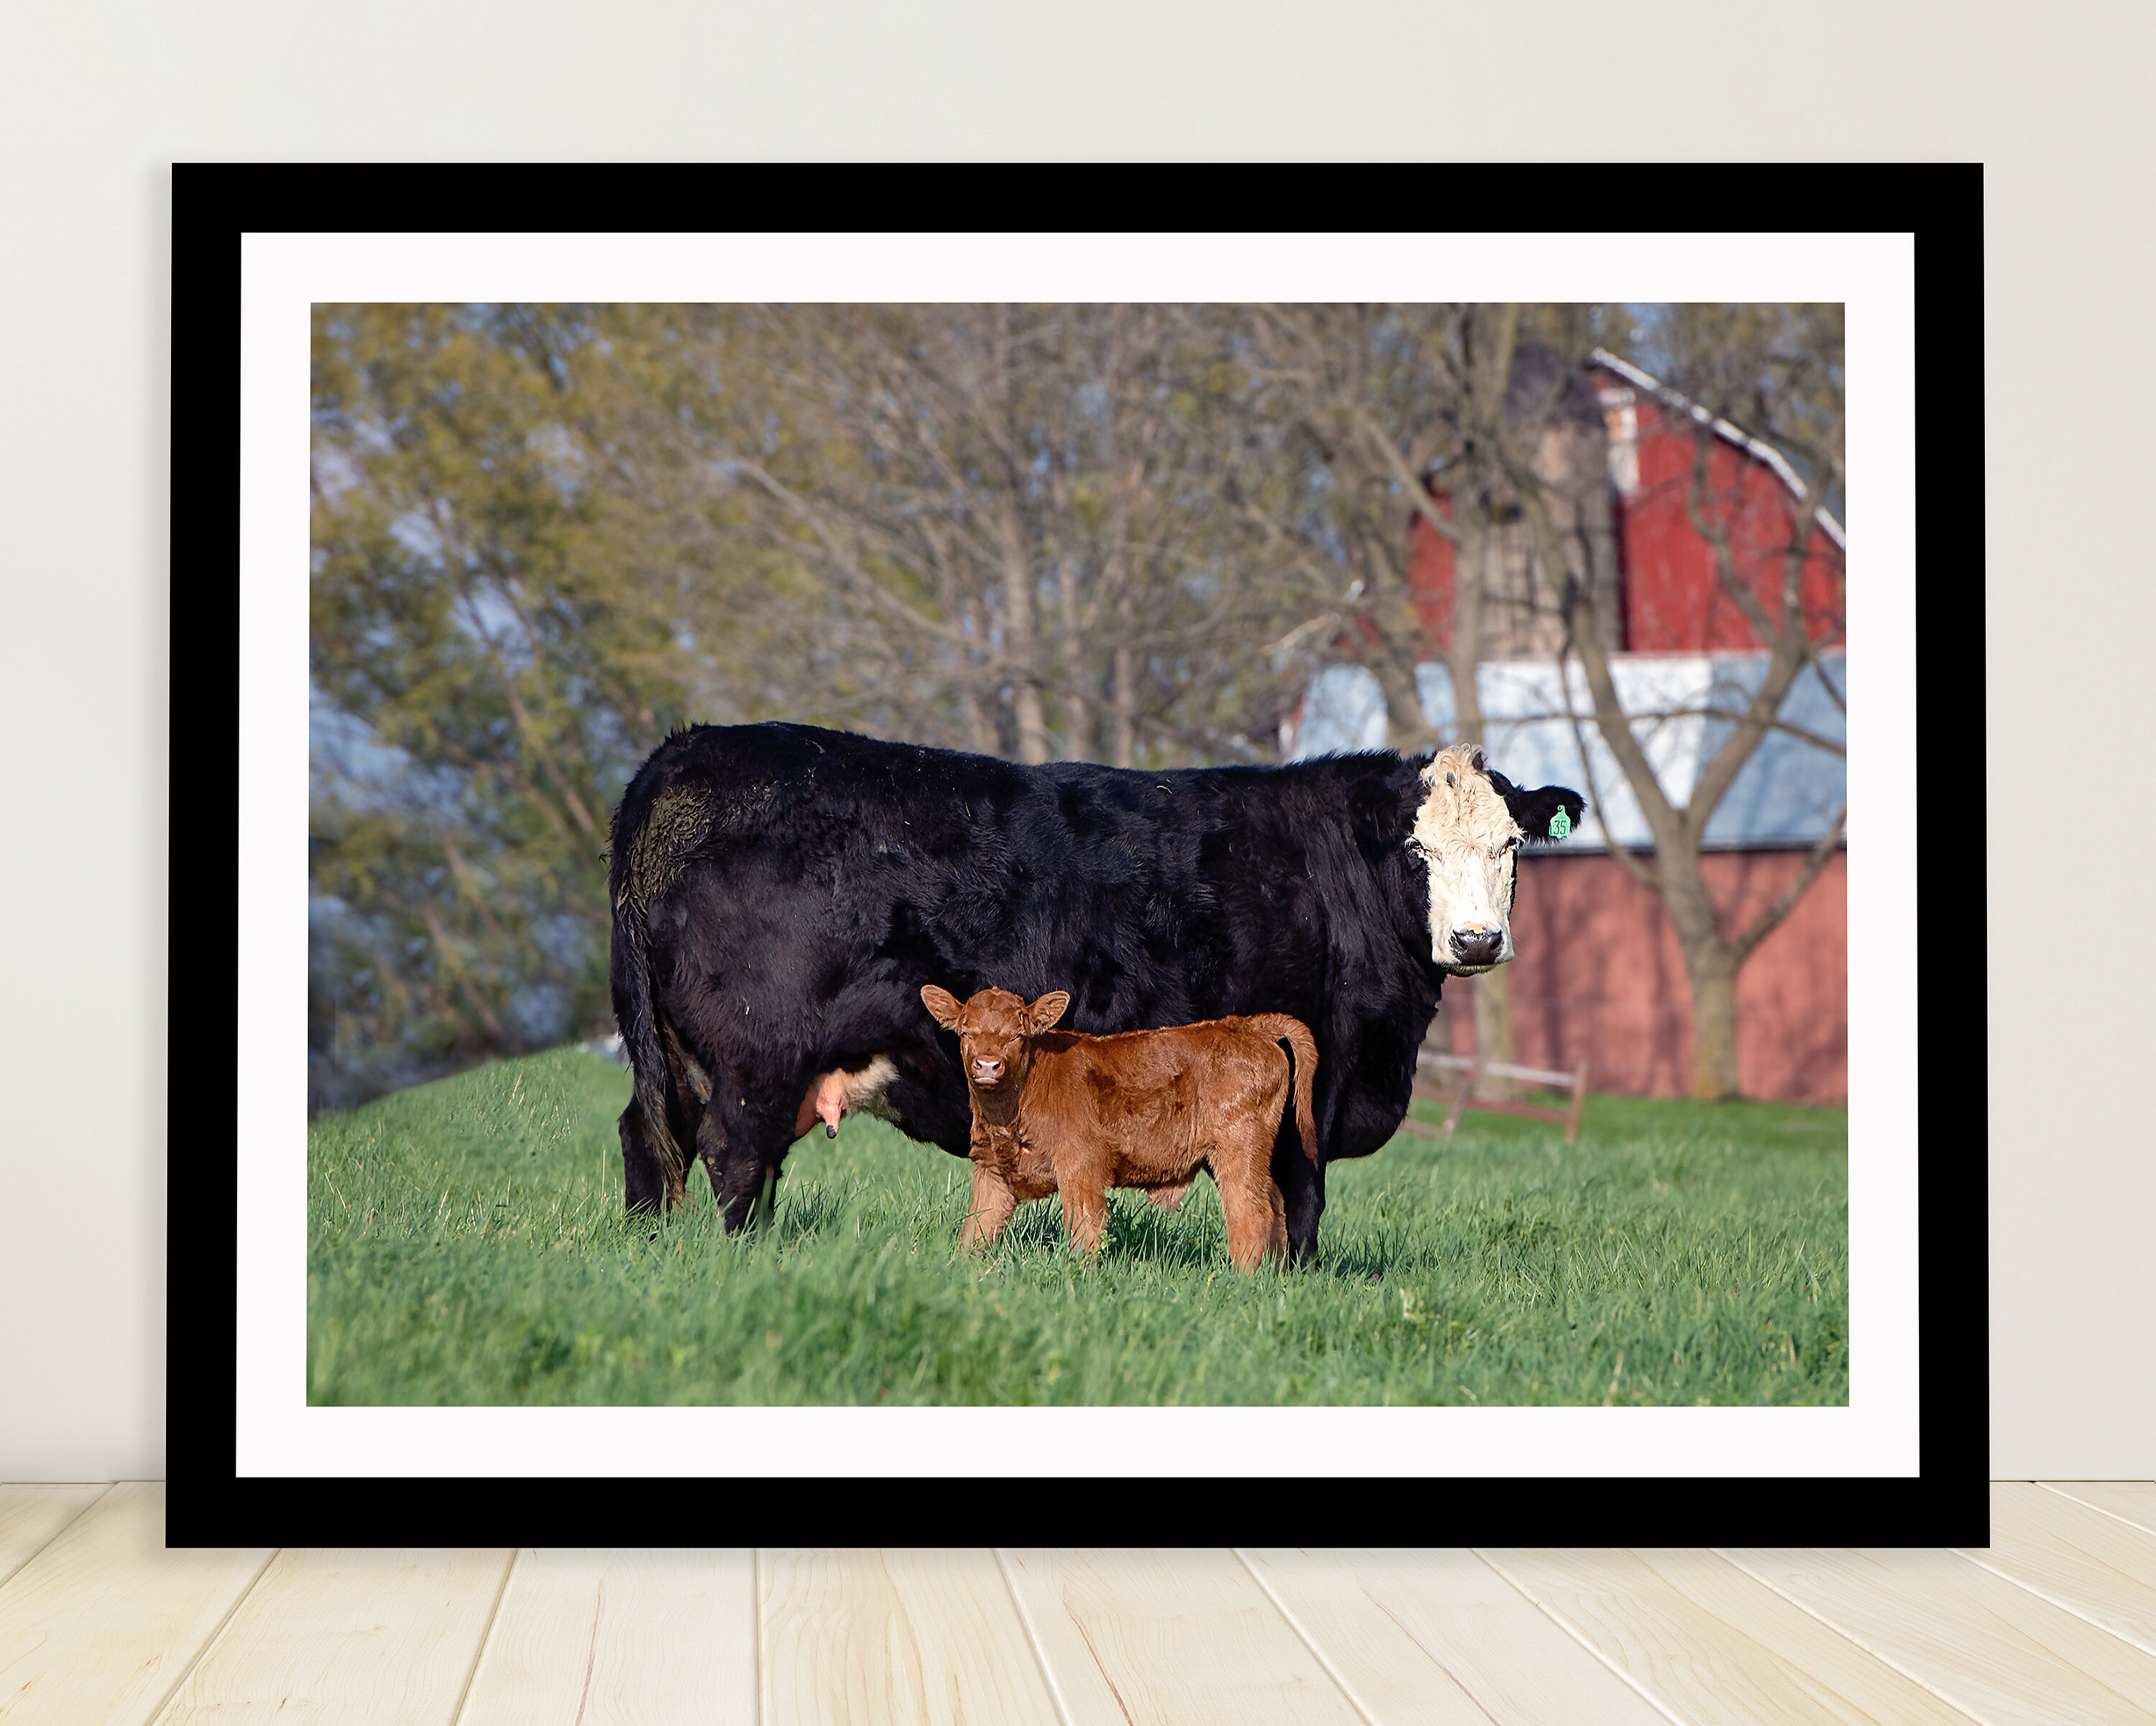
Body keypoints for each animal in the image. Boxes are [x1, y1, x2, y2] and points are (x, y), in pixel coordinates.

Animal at [919, 984, 1319, 1269]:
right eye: (966, 1033)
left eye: (1018, 1034)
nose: (988, 1065)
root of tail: (1245, 1024)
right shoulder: (991, 1169)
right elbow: (976, 1229)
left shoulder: (1080, 1165)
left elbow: (1084, 1228)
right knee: (1276, 1205)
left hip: (1238, 1149)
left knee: (1250, 1213)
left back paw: (1241, 1280)